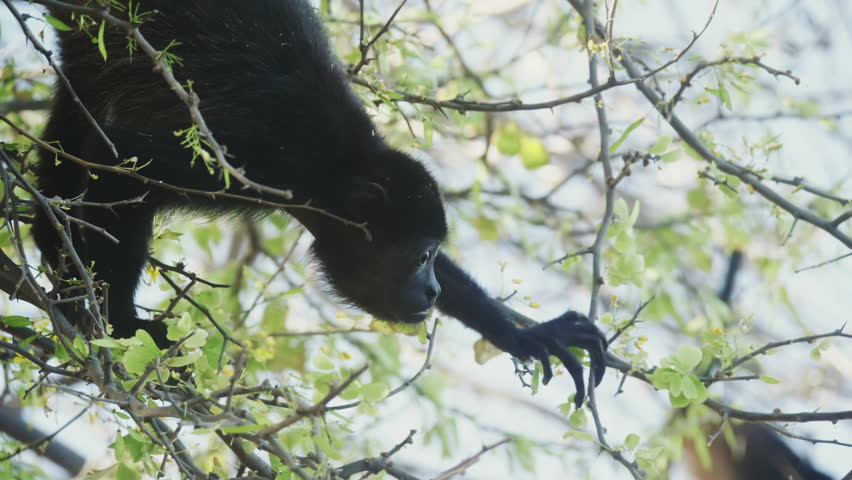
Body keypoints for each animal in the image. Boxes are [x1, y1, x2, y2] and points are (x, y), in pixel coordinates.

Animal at [30, 0, 606, 406]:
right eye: (419, 256)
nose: (433, 288)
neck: (336, 171)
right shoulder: (257, 163)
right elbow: (118, 157)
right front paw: (120, 323)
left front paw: (523, 334)